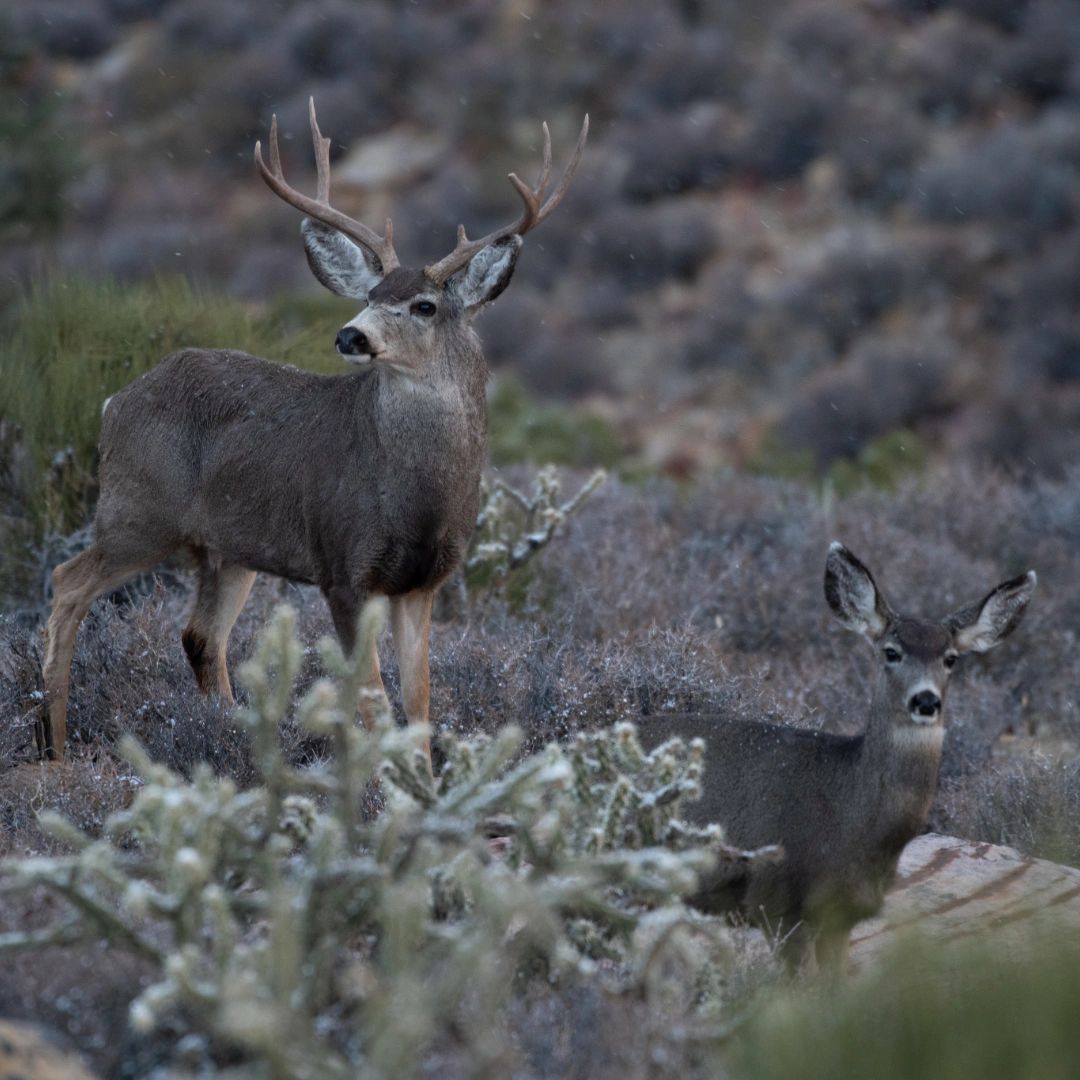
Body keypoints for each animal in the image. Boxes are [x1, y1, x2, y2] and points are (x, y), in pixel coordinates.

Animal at [38, 99, 588, 765]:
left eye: (424, 306)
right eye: (372, 293)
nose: (352, 335)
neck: (418, 500)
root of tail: (114, 401)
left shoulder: (424, 582)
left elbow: (420, 701)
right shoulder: (343, 568)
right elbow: (375, 701)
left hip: (227, 547)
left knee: (199, 635)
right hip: (139, 511)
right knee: (68, 584)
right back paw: (54, 747)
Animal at [639, 542, 1036, 975]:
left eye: (950, 658)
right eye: (891, 652)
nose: (926, 701)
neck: (851, 819)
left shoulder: (843, 914)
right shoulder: (777, 899)